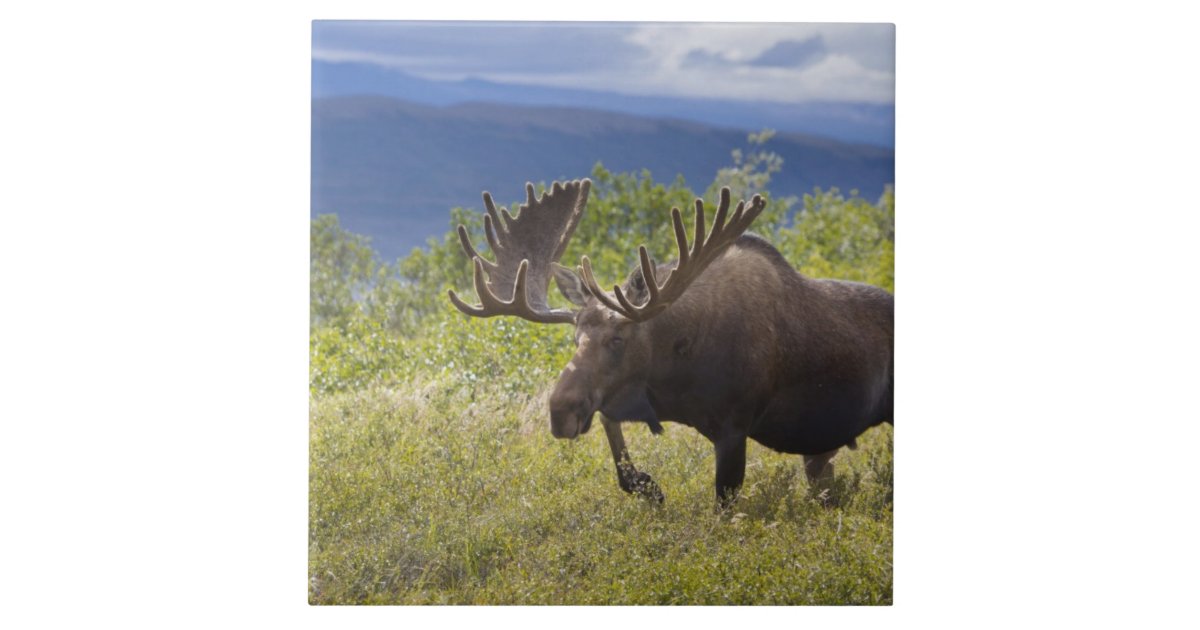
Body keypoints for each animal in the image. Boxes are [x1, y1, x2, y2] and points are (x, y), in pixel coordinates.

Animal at [448, 179, 893, 506]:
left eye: (618, 338)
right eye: (575, 338)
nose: (560, 412)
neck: (678, 365)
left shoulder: (734, 427)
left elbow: (724, 503)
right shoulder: (637, 398)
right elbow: (614, 437)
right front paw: (648, 486)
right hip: (820, 450)